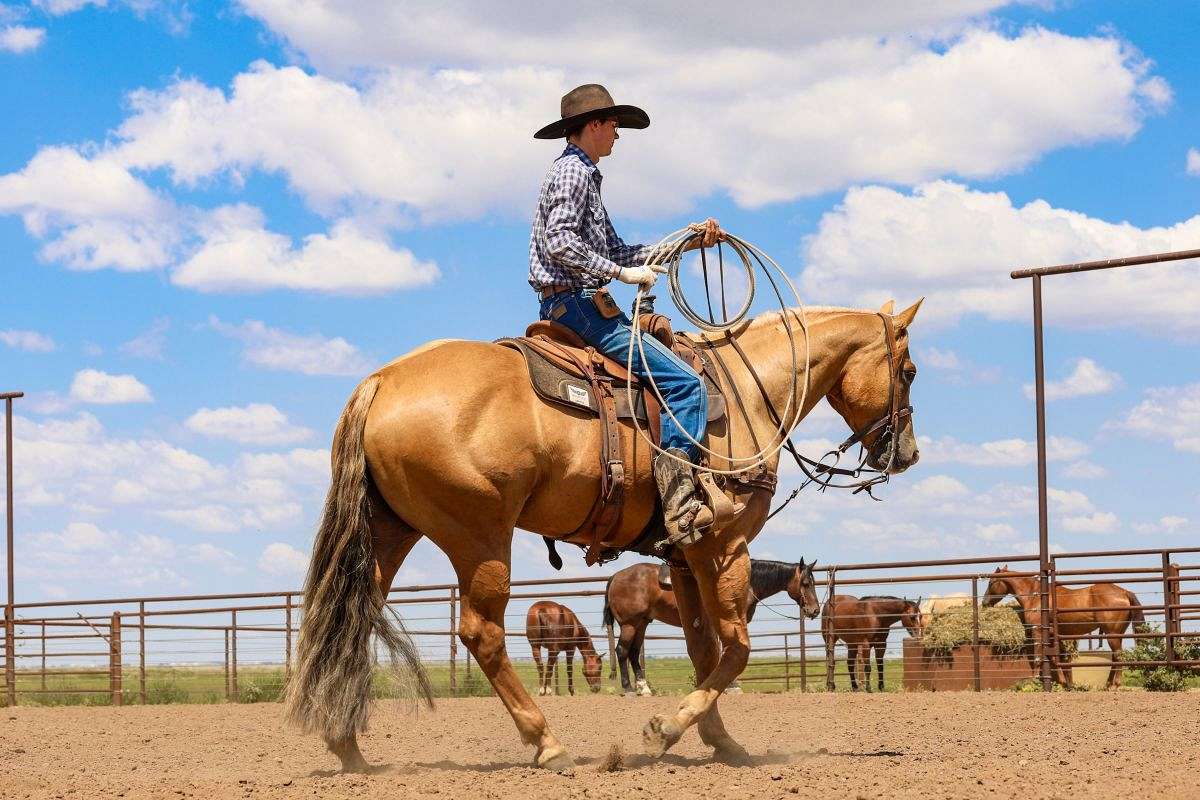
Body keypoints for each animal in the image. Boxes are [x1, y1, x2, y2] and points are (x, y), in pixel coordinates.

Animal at [603, 558, 820, 695]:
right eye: (806, 583)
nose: (815, 610)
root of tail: (615, 576)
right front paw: (732, 686)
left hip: (642, 623)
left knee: (633, 653)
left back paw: (644, 688)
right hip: (629, 624)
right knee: (622, 651)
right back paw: (628, 688)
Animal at [981, 566, 1144, 689]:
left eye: (991, 582)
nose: (984, 602)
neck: (1036, 596)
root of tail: (1124, 593)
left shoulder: (1037, 631)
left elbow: (1039, 658)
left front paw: (1034, 680)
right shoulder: (1053, 636)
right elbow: (1055, 658)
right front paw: (1064, 683)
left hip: (1112, 634)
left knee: (1118, 656)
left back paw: (1115, 685)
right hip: (1116, 635)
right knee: (1115, 658)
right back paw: (1108, 684)